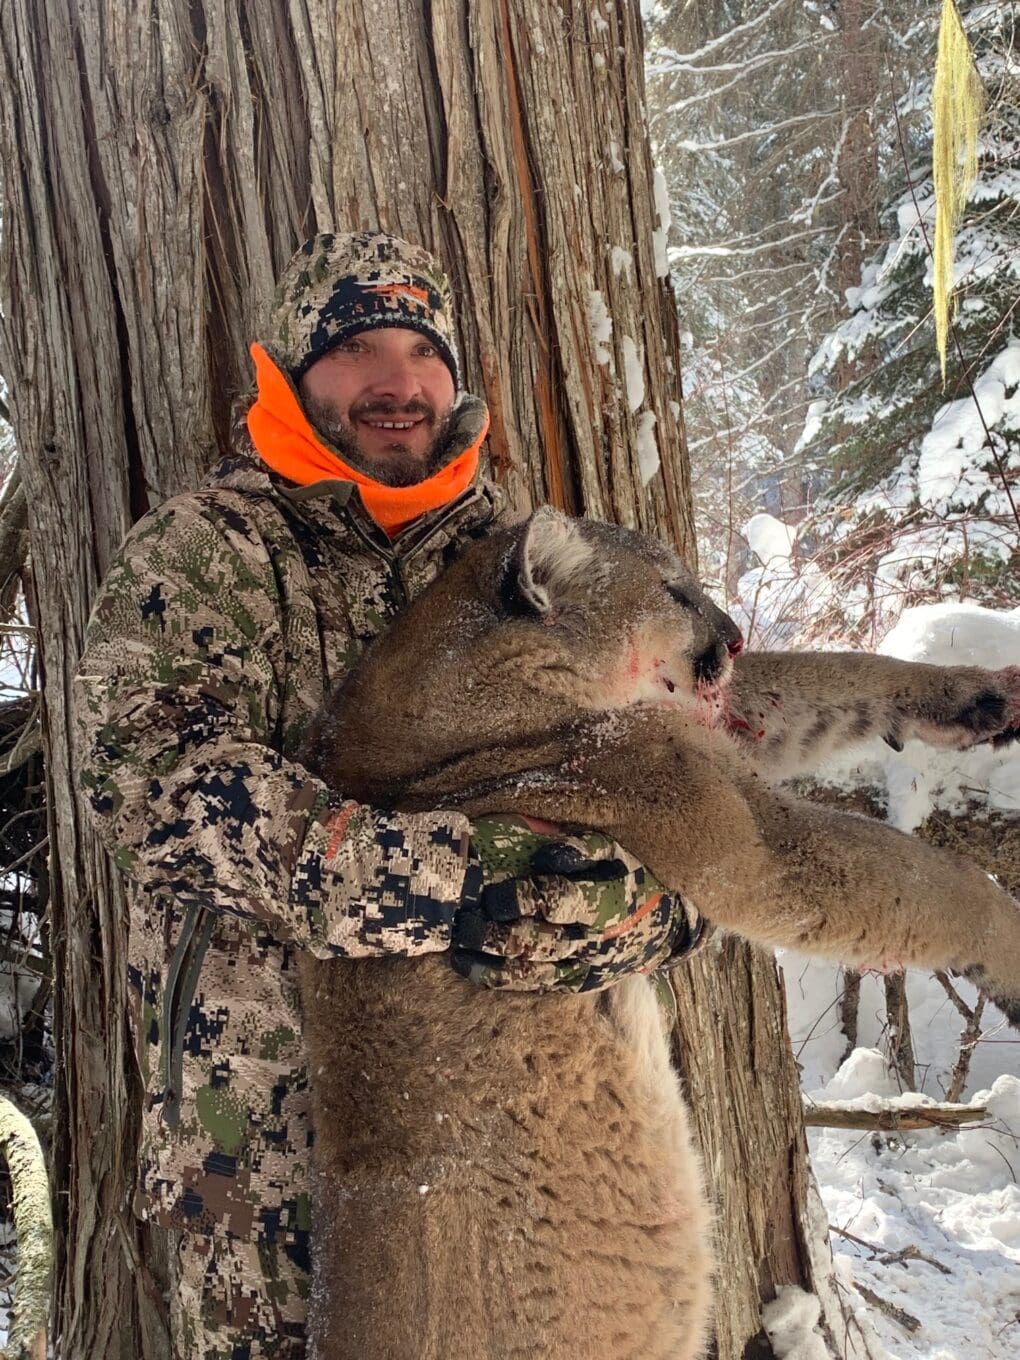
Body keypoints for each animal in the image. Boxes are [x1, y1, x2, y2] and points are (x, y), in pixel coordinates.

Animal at [297, 507, 1020, 1360]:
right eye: (674, 590)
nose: (733, 636)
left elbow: (825, 675)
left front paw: (977, 693)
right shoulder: (739, 831)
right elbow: (934, 882)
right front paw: (1011, 946)